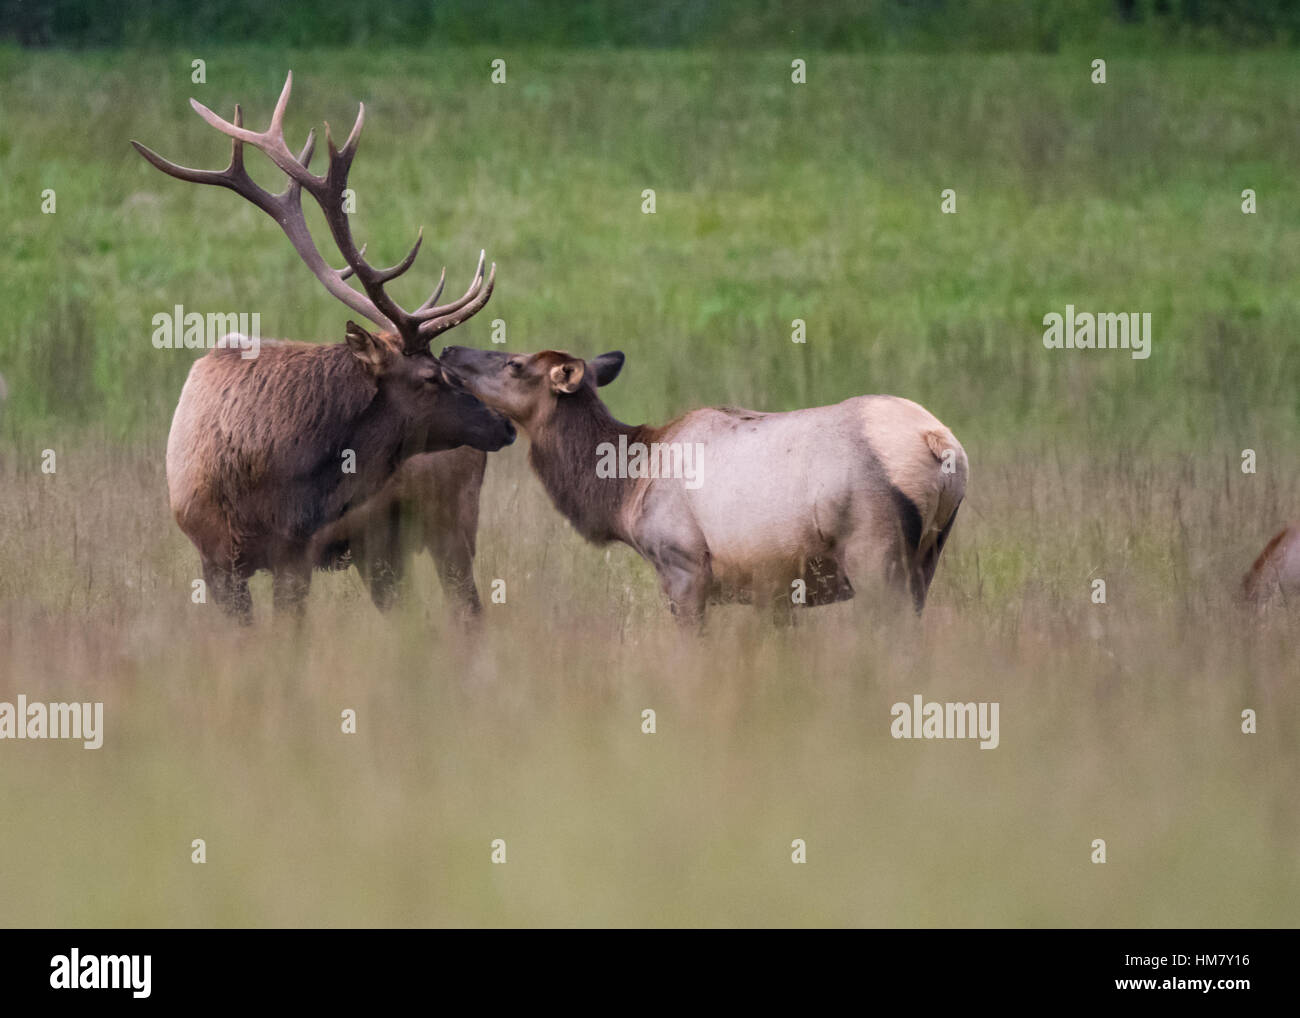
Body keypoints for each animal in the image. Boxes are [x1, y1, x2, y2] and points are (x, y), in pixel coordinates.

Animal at [134, 73, 515, 621]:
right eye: (429, 377)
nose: (504, 424)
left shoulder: (297, 552)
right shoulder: (214, 557)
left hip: (450, 519)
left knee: (468, 612)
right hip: (382, 548)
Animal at [438, 345, 969, 624]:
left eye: (514, 363)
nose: (450, 350)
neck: (625, 490)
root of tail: (942, 444)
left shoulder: (684, 566)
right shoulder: (776, 590)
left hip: (875, 553)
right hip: (927, 559)